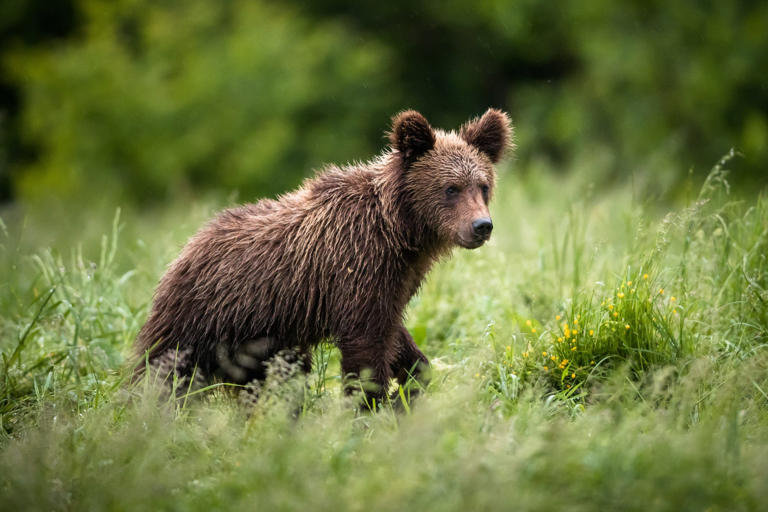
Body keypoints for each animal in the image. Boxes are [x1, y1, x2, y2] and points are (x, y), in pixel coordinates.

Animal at [134, 108, 512, 406]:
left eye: (483, 185)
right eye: (451, 188)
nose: (482, 226)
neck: (399, 230)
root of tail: (187, 247)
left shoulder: (393, 282)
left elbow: (396, 338)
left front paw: (409, 386)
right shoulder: (356, 268)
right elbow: (365, 350)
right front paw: (369, 407)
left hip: (260, 340)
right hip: (203, 316)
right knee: (164, 370)